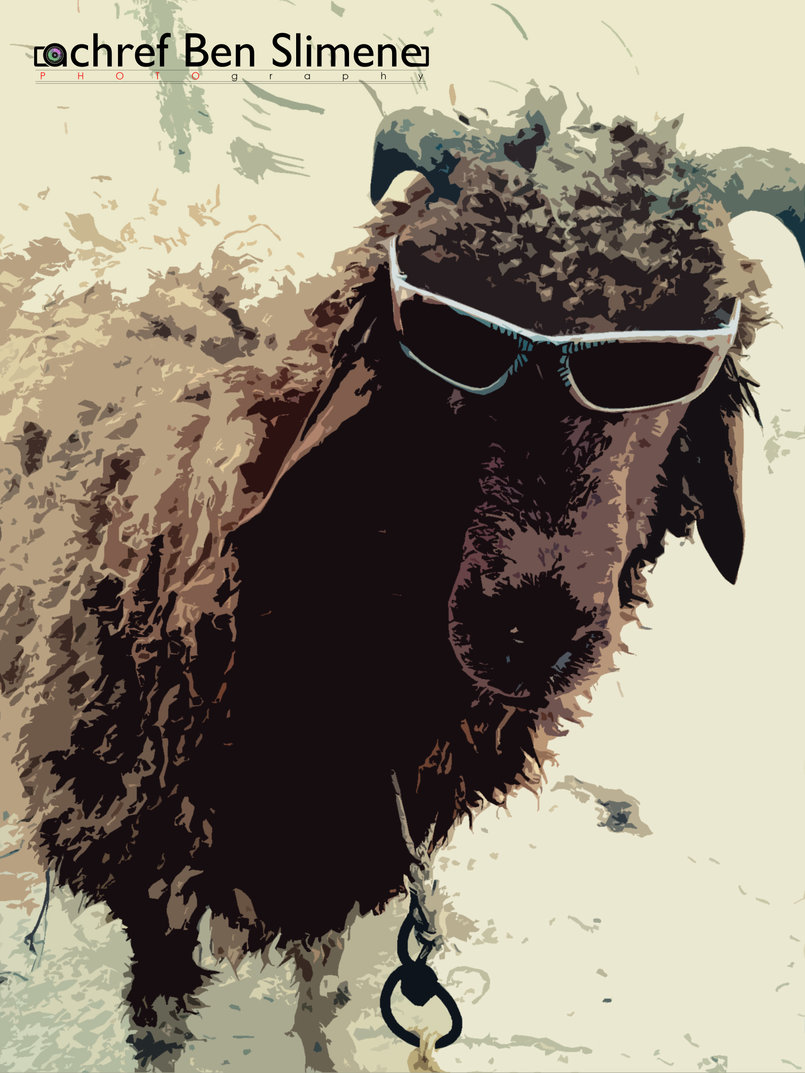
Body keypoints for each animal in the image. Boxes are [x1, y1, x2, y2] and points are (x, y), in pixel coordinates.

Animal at [3, 86, 802, 1070]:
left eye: (675, 361)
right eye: (442, 336)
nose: (528, 632)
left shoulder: (344, 849)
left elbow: (322, 991)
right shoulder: (146, 848)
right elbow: (160, 1012)